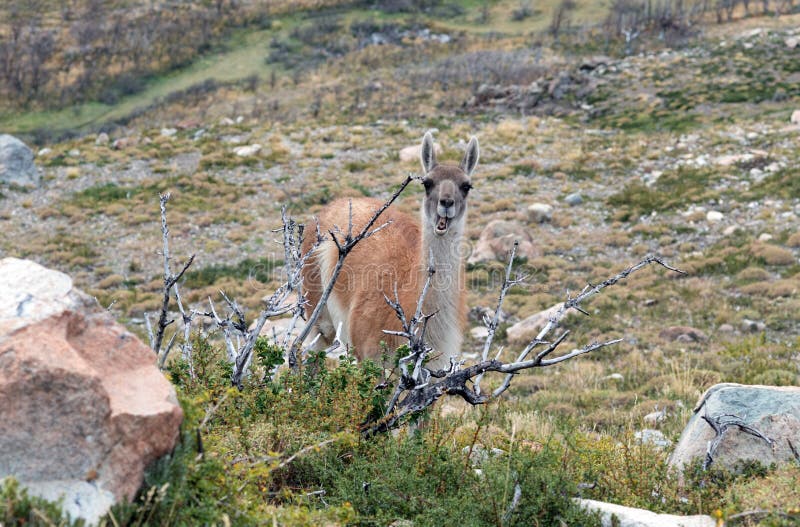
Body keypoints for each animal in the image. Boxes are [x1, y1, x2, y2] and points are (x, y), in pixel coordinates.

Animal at [300, 131, 479, 370]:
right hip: (318, 311)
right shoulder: (370, 357)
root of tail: (335, 203)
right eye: (427, 183)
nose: (446, 202)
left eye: (466, 186)